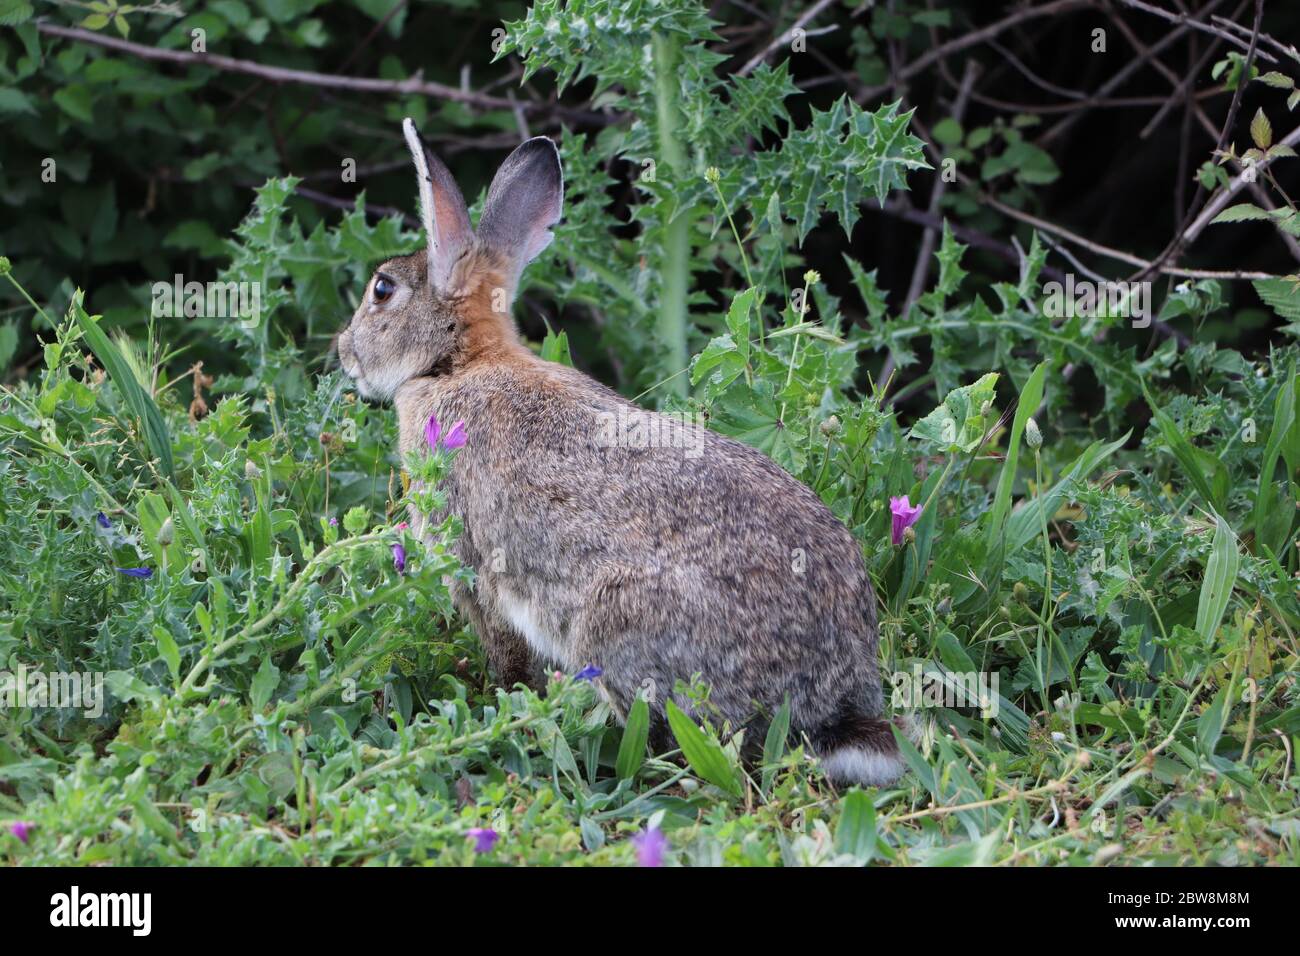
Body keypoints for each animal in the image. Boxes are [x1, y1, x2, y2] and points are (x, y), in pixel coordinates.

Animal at [336, 118, 909, 787]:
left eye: (382, 290)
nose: (344, 352)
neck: (458, 363)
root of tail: (834, 703)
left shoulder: (473, 566)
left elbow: (505, 649)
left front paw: (504, 698)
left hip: (616, 625)